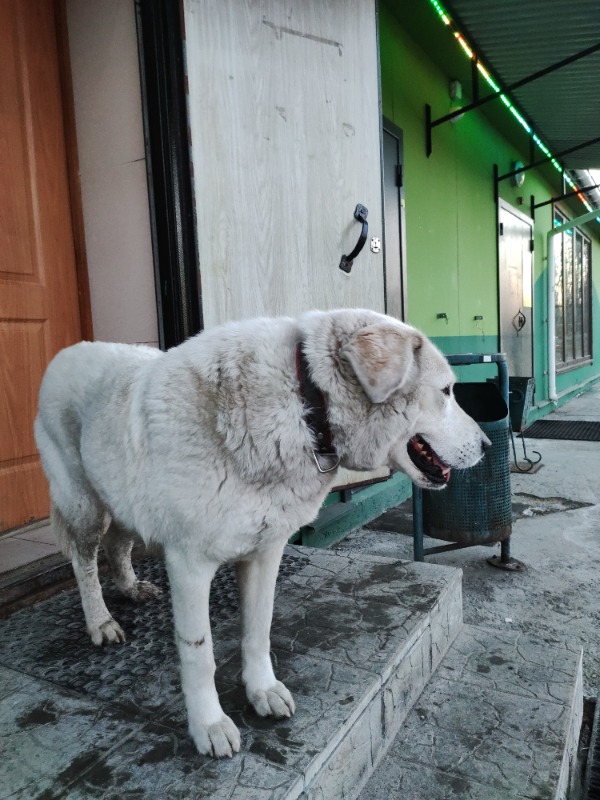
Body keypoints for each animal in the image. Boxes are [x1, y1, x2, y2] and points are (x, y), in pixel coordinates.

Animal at [34, 308, 489, 758]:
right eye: (447, 391)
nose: (487, 444)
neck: (307, 406)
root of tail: (67, 352)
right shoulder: (189, 565)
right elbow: (200, 653)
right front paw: (209, 725)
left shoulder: (264, 553)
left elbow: (258, 631)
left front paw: (262, 691)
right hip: (85, 506)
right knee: (84, 562)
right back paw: (101, 622)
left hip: (123, 502)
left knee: (118, 544)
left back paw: (131, 588)